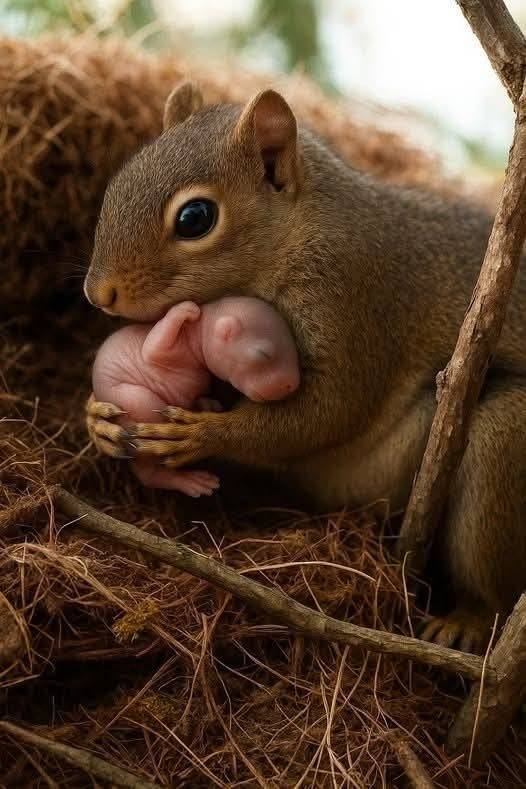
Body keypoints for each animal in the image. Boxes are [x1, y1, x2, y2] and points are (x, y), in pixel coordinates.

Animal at [91, 296, 300, 496]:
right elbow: (152, 347)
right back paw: (183, 479)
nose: (293, 385)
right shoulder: (164, 343)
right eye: (263, 354)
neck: (195, 339)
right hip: (133, 401)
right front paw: (186, 309)